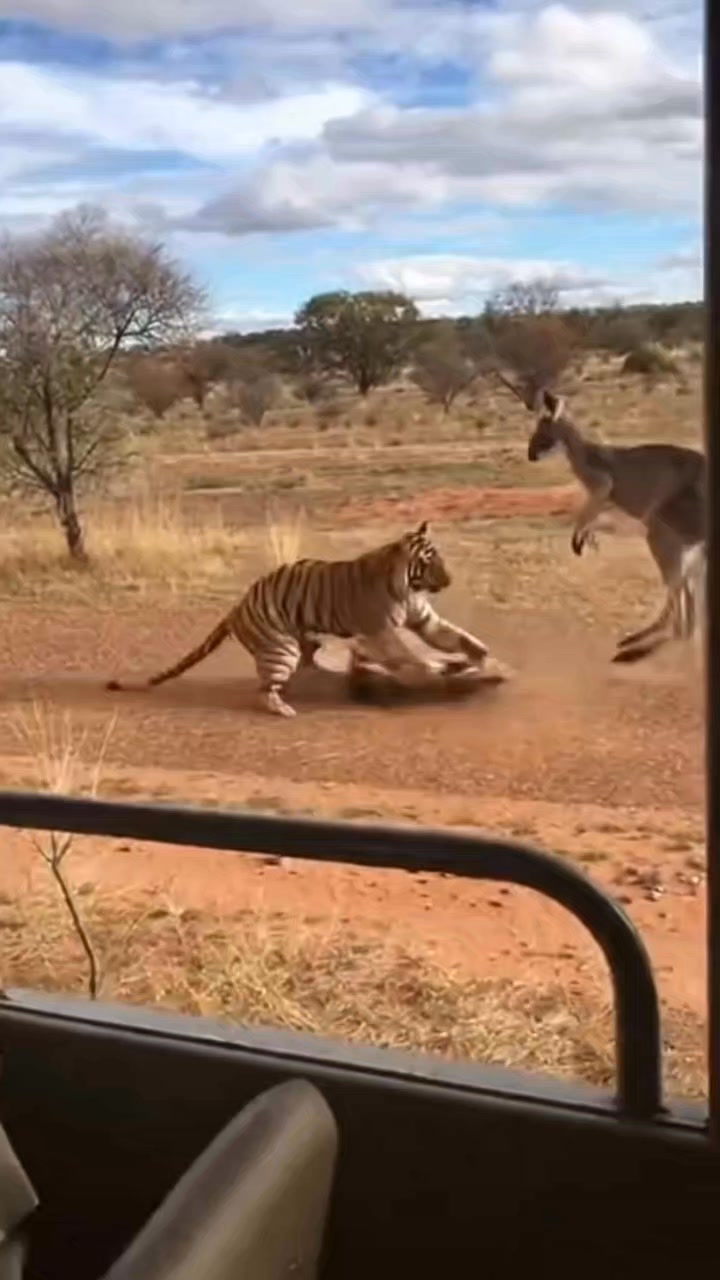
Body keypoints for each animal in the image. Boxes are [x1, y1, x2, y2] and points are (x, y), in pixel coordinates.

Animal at [106, 521, 492, 718]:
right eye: (429, 561)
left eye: (439, 558)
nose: (449, 580)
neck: (408, 584)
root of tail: (236, 607)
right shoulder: (381, 631)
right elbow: (410, 657)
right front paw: (432, 671)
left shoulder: (423, 620)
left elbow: (456, 636)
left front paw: (481, 656)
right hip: (282, 649)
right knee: (263, 690)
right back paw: (284, 708)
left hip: (305, 639)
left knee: (296, 671)